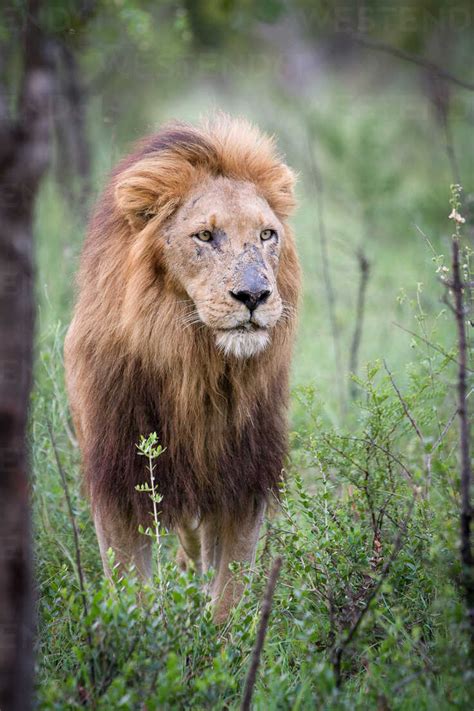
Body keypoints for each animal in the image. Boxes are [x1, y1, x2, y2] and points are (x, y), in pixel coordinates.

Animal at [64, 115, 300, 622]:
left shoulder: (242, 480)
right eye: (205, 237)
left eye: (267, 235)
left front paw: (221, 639)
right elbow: (131, 592)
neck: (194, 364)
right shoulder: (118, 478)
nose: (255, 296)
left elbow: (229, 592)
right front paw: (143, 637)